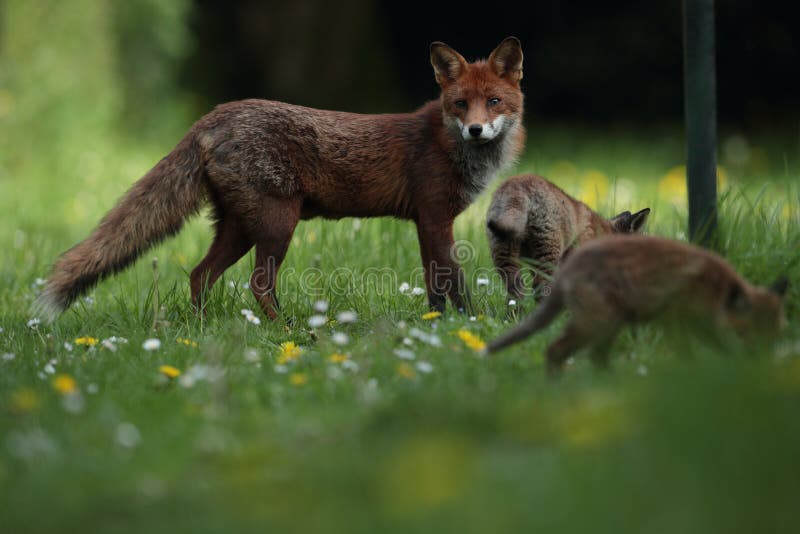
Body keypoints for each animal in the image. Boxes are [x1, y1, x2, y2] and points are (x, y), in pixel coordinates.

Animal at [35, 37, 526, 321]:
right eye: (460, 103)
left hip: (238, 228)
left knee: (199, 275)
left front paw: (437, 325)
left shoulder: (426, 222)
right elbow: (453, 280)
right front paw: (471, 325)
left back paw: (201, 331)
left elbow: (435, 282)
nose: (476, 129)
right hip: (276, 224)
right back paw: (286, 330)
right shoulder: (435, 217)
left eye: (494, 102)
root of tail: (213, 116)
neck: (449, 144)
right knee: (256, 283)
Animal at [485, 235, 789, 377]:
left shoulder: (696, 322)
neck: (716, 285)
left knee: (596, 357)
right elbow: (694, 350)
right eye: (749, 334)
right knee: (555, 350)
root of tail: (568, 269)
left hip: (610, 325)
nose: (763, 365)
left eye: (774, 336)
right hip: (596, 323)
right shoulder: (680, 319)